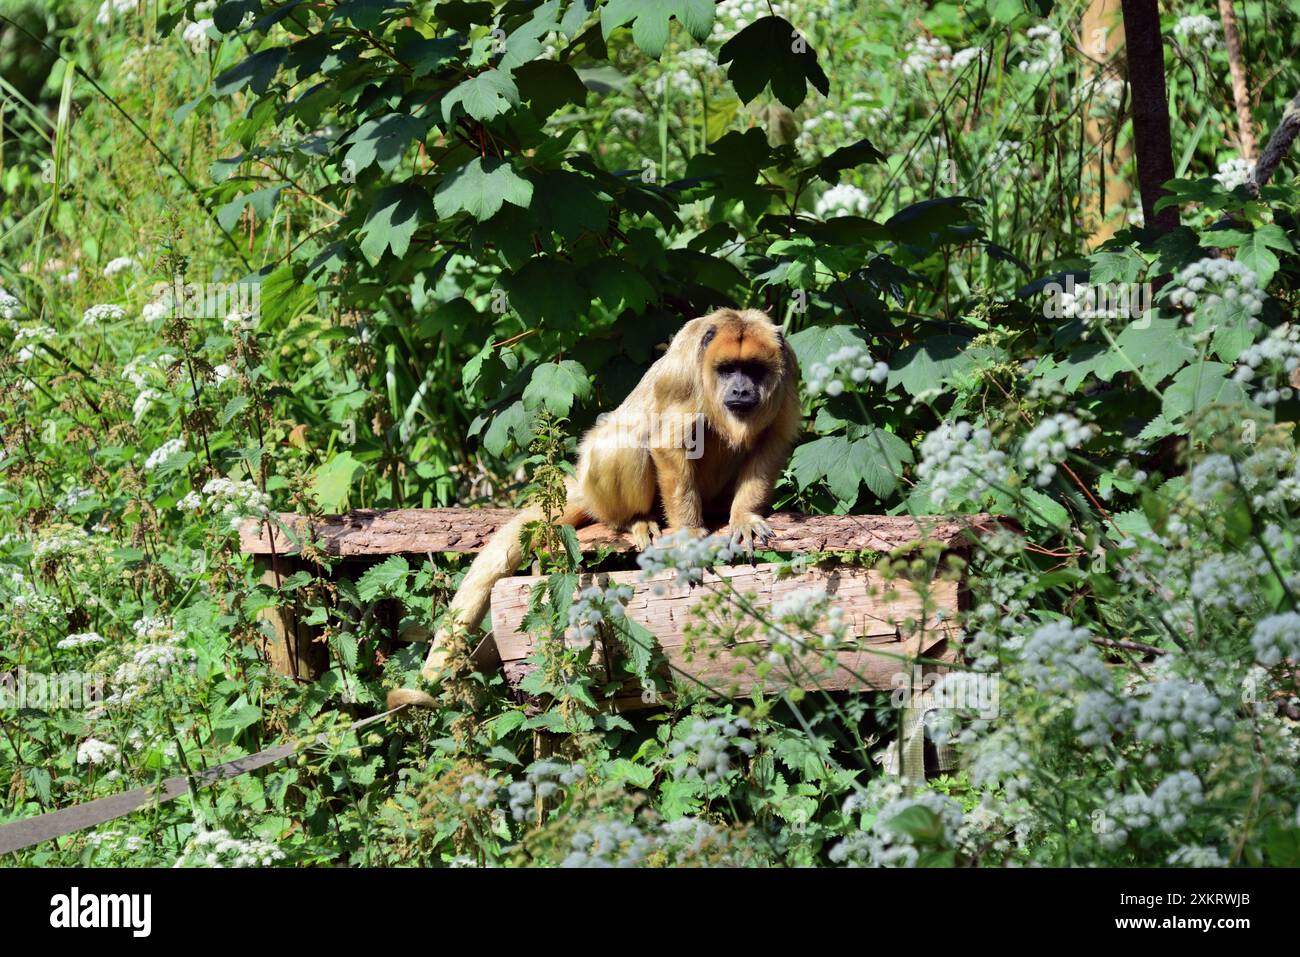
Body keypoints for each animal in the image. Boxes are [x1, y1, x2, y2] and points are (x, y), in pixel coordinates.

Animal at [397, 307, 801, 696]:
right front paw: (688, 540)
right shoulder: (682, 373)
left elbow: (774, 439)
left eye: (753, 370)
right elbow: (669, 441)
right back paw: (637, 519)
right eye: (727, 369)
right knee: (627, 438)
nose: (740, 390)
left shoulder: (789, 371)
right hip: (598, 484)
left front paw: (743, 517)